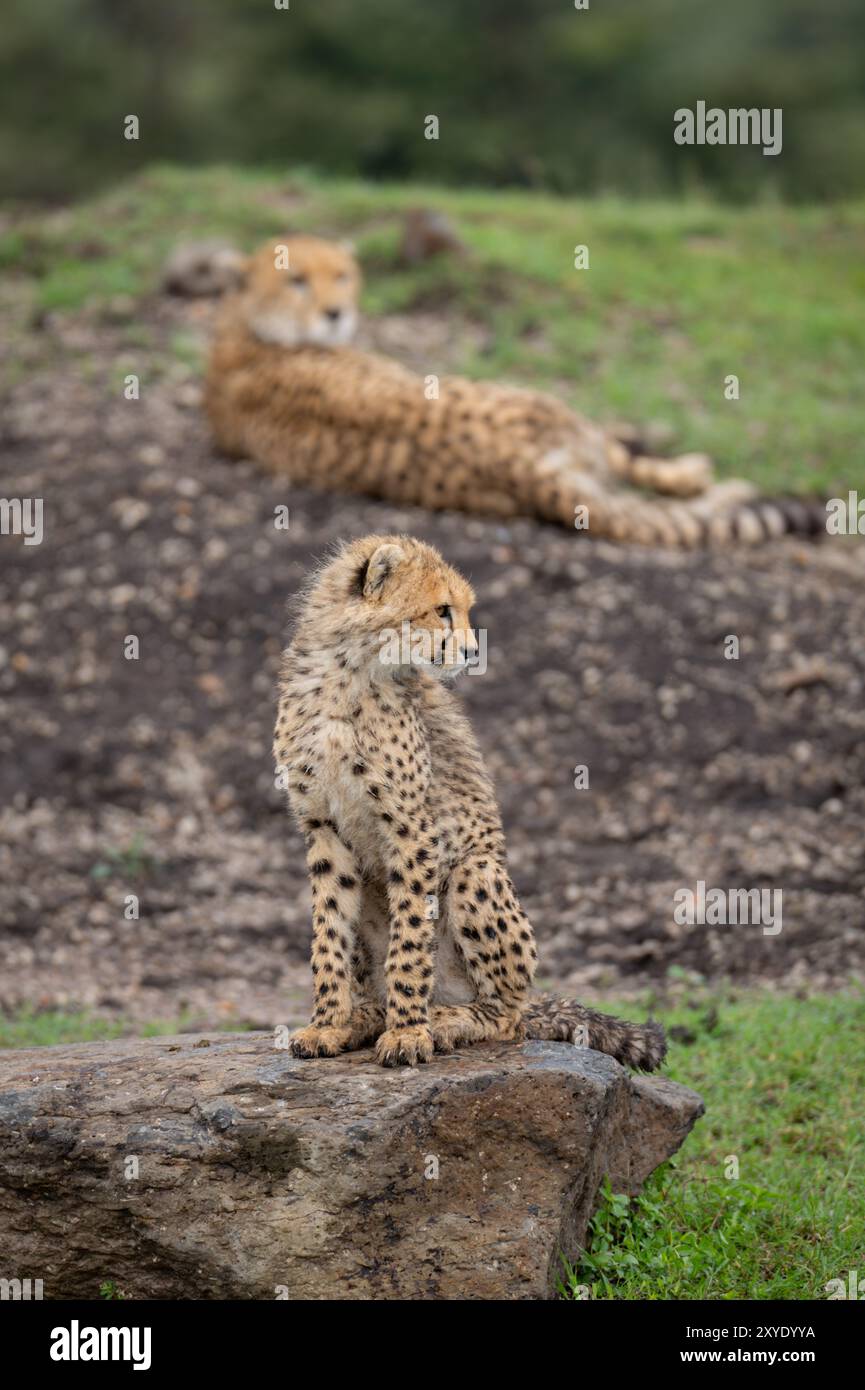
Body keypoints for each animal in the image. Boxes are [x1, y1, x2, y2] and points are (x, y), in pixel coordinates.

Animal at [205, 234, 824, 548]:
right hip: (556, 416)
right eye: (296, 280)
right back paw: (720, 480)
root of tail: (517, 465)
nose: (336, 313)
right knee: (641, 482)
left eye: (341, 275)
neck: (243, 323)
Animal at [273, 532, 666, 1069]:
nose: (472, 650)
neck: (348, 670)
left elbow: (410, 937)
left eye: (461, 610)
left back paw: (445, 1020)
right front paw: (328, 1024)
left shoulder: (413, 827)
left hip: (475, 873)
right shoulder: (324, 830)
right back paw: (365, 1017)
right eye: (441, 610)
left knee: (508, 1016)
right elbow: (329, 931)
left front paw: (408, 1034)